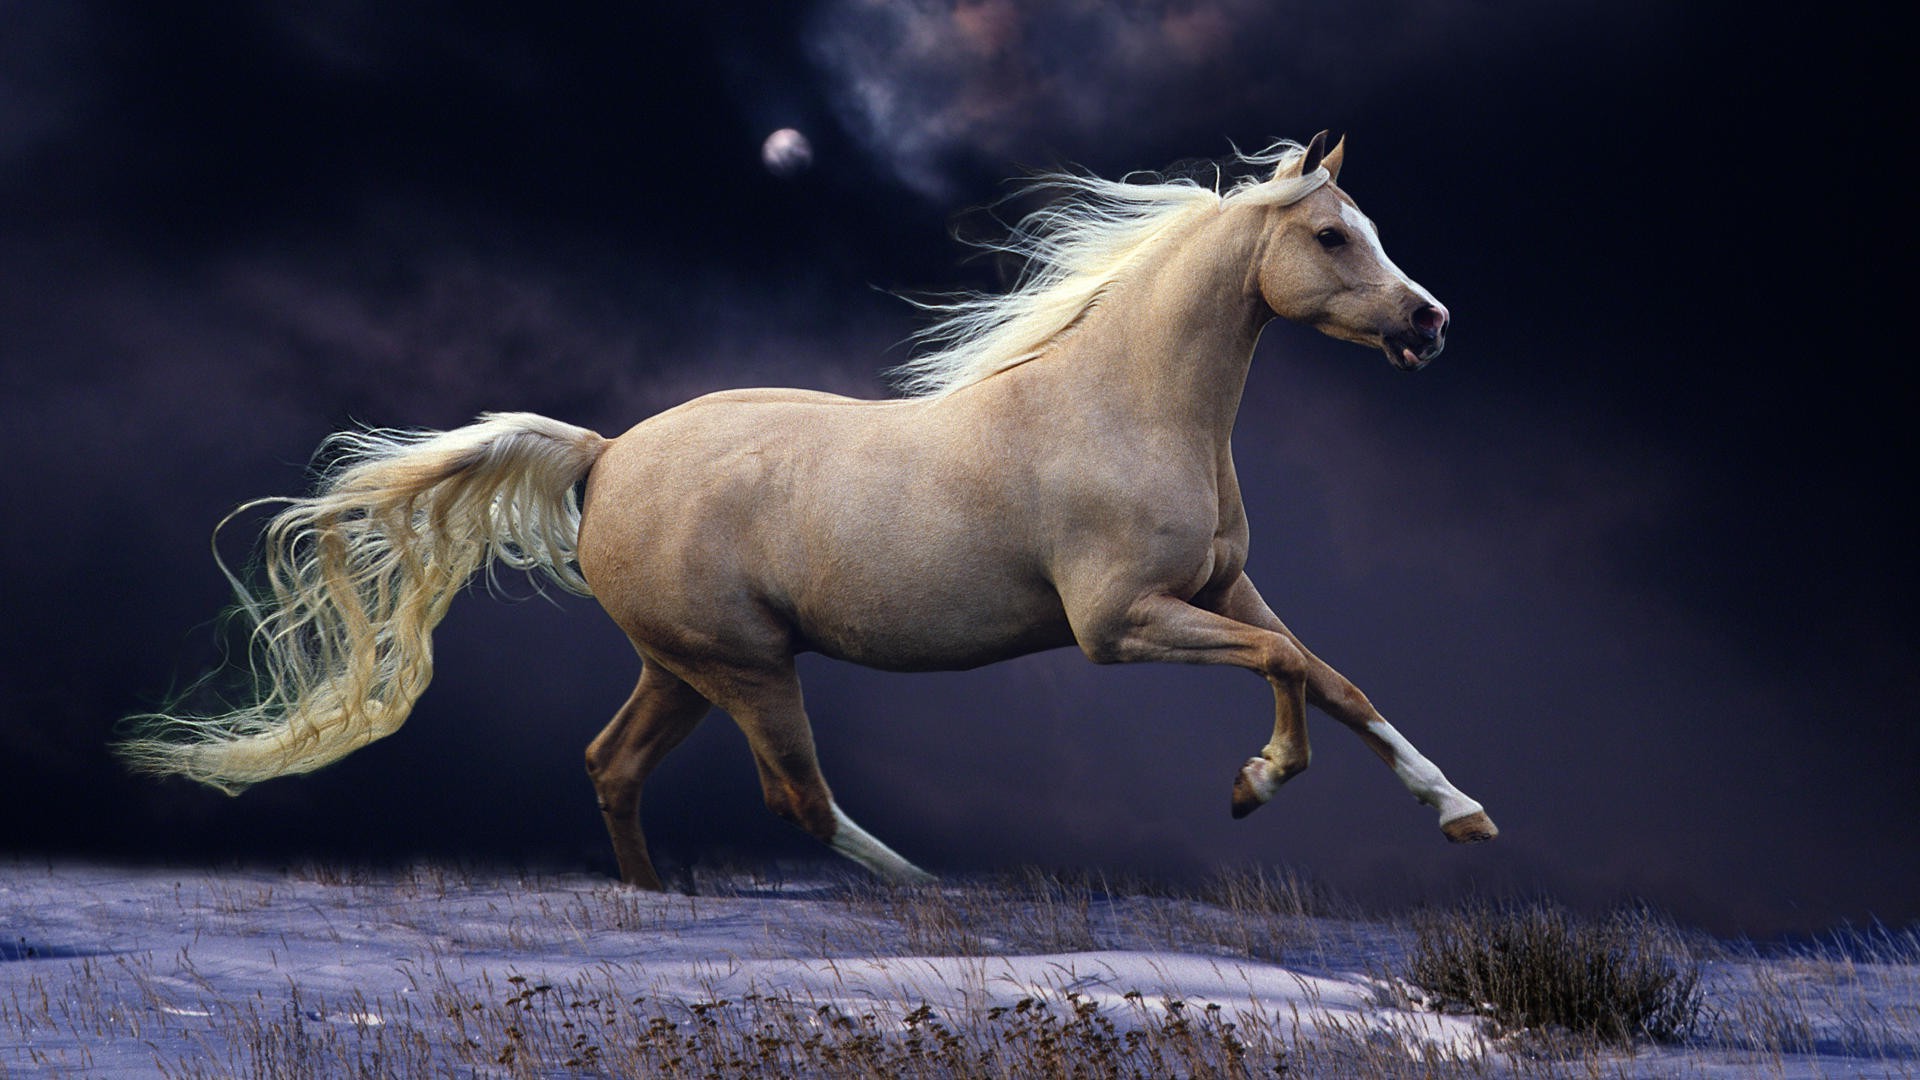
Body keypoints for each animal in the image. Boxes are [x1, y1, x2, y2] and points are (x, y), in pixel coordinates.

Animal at [119, 132, 1496, 888]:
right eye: (1332, 236)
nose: (1431, 324)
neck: (1126, 407)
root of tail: (604, 456)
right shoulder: (1121, 624)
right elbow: (1288, 672)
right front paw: (1257, 784)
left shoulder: (1220, 588)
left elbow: (1334, 675)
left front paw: (1462, 814)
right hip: (745, 665)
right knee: (798, 800)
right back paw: (943, 897)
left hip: (683, 666)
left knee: (613, 765)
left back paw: (659, 902)